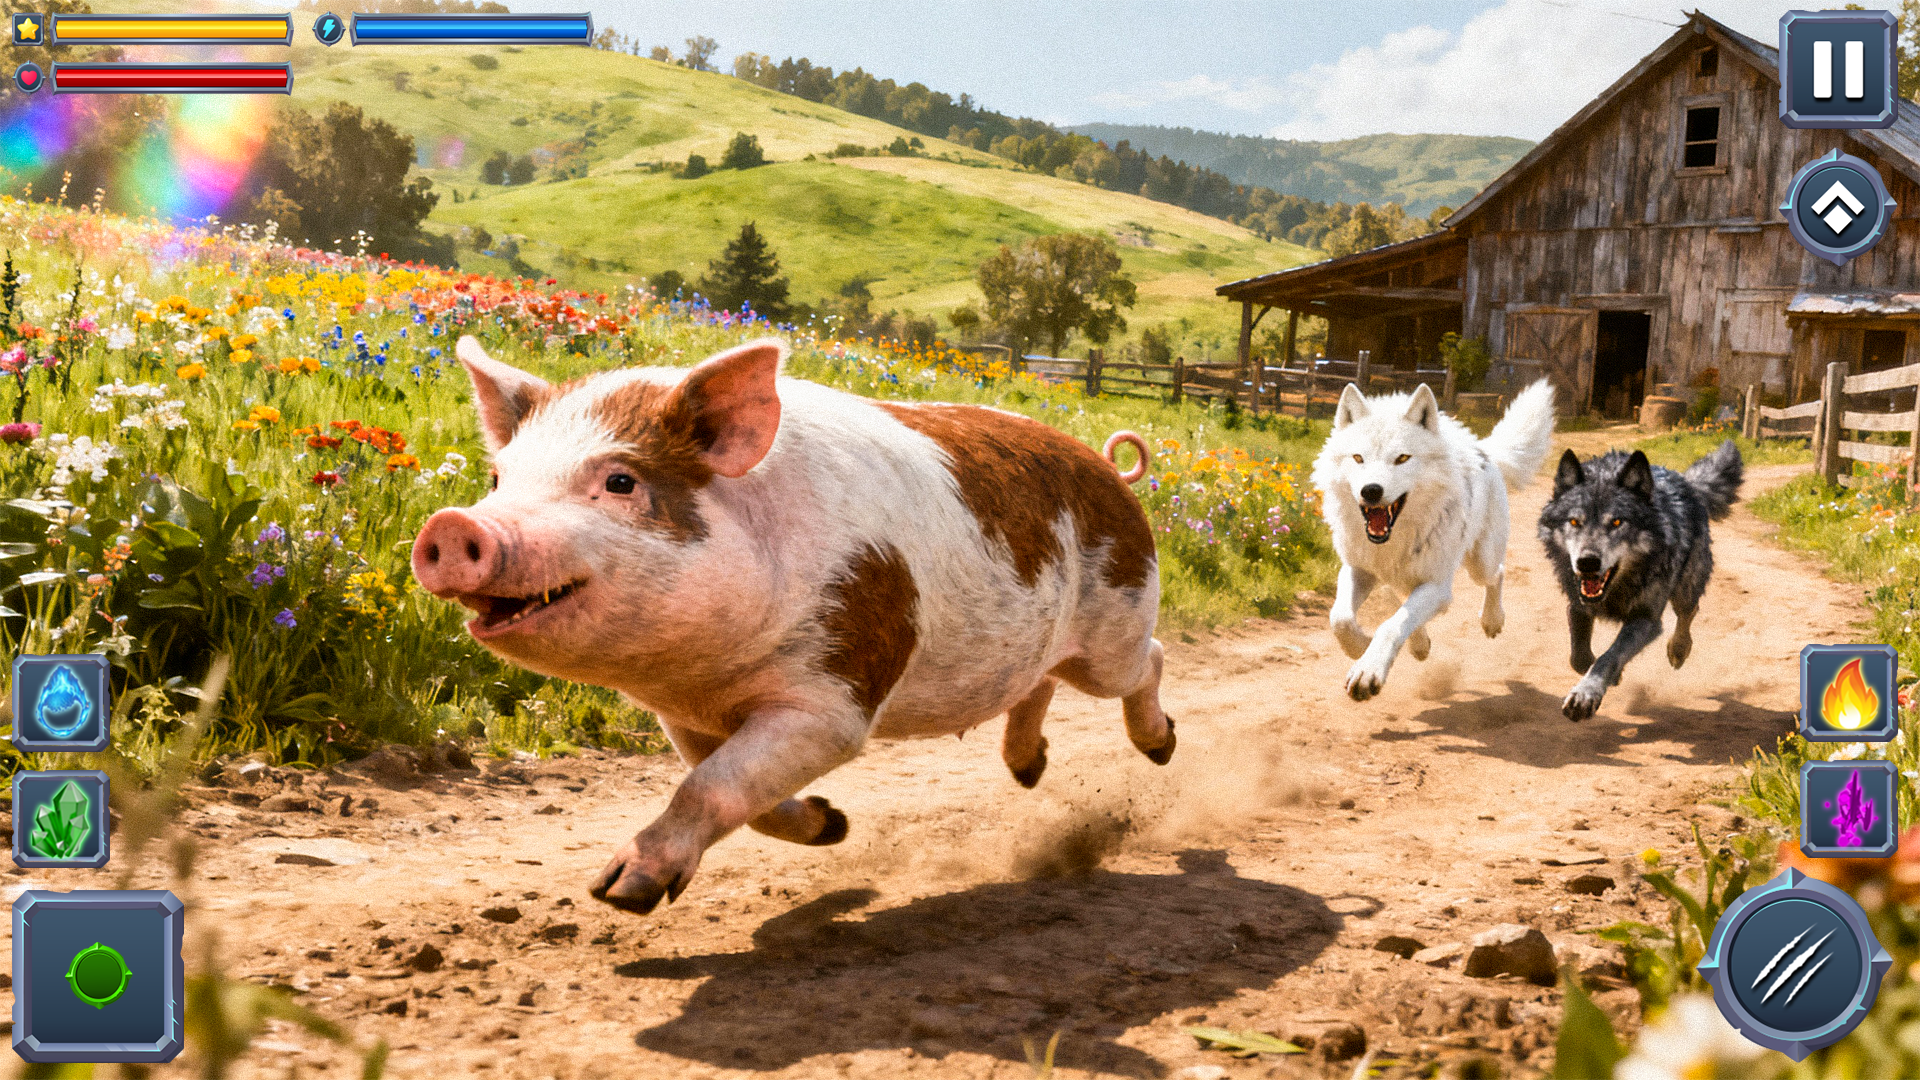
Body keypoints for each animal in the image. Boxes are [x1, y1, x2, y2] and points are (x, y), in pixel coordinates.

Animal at [411, 335, 1176, 914]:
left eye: (621, 481)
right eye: (500, 479)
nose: (452, 527)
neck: (702, 677)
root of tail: (1109, 470)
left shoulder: (835, 691)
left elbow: (713, 784)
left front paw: (619, 893)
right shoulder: (683, 716)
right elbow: (736, 790)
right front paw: (833, 826)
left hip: (1115, 625)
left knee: (1150, 658)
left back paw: (1162, 748)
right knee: (1039, 683)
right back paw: (1028, 771)